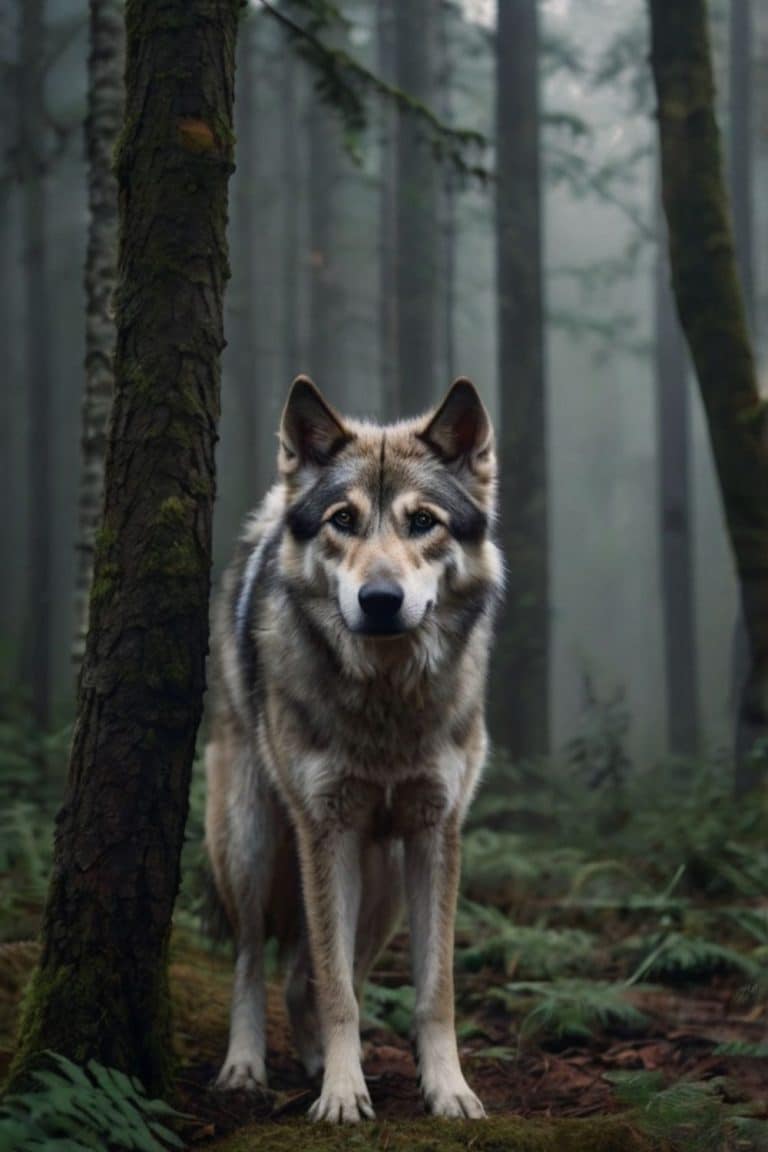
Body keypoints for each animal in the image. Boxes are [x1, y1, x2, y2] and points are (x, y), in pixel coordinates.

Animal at [205, 376, 503, 1123]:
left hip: (383, 887)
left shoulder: (435, 834)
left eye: (422, 522)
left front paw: (448, 1090)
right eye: (343, 519)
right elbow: (336, 989)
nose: (380, 599)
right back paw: (246, 1068)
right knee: (255, 960)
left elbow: (432, 991)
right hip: (253, 844)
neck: (387, 704)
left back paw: (314, 1060)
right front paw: (342, 1096)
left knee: (306, 975)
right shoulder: (326, 830)